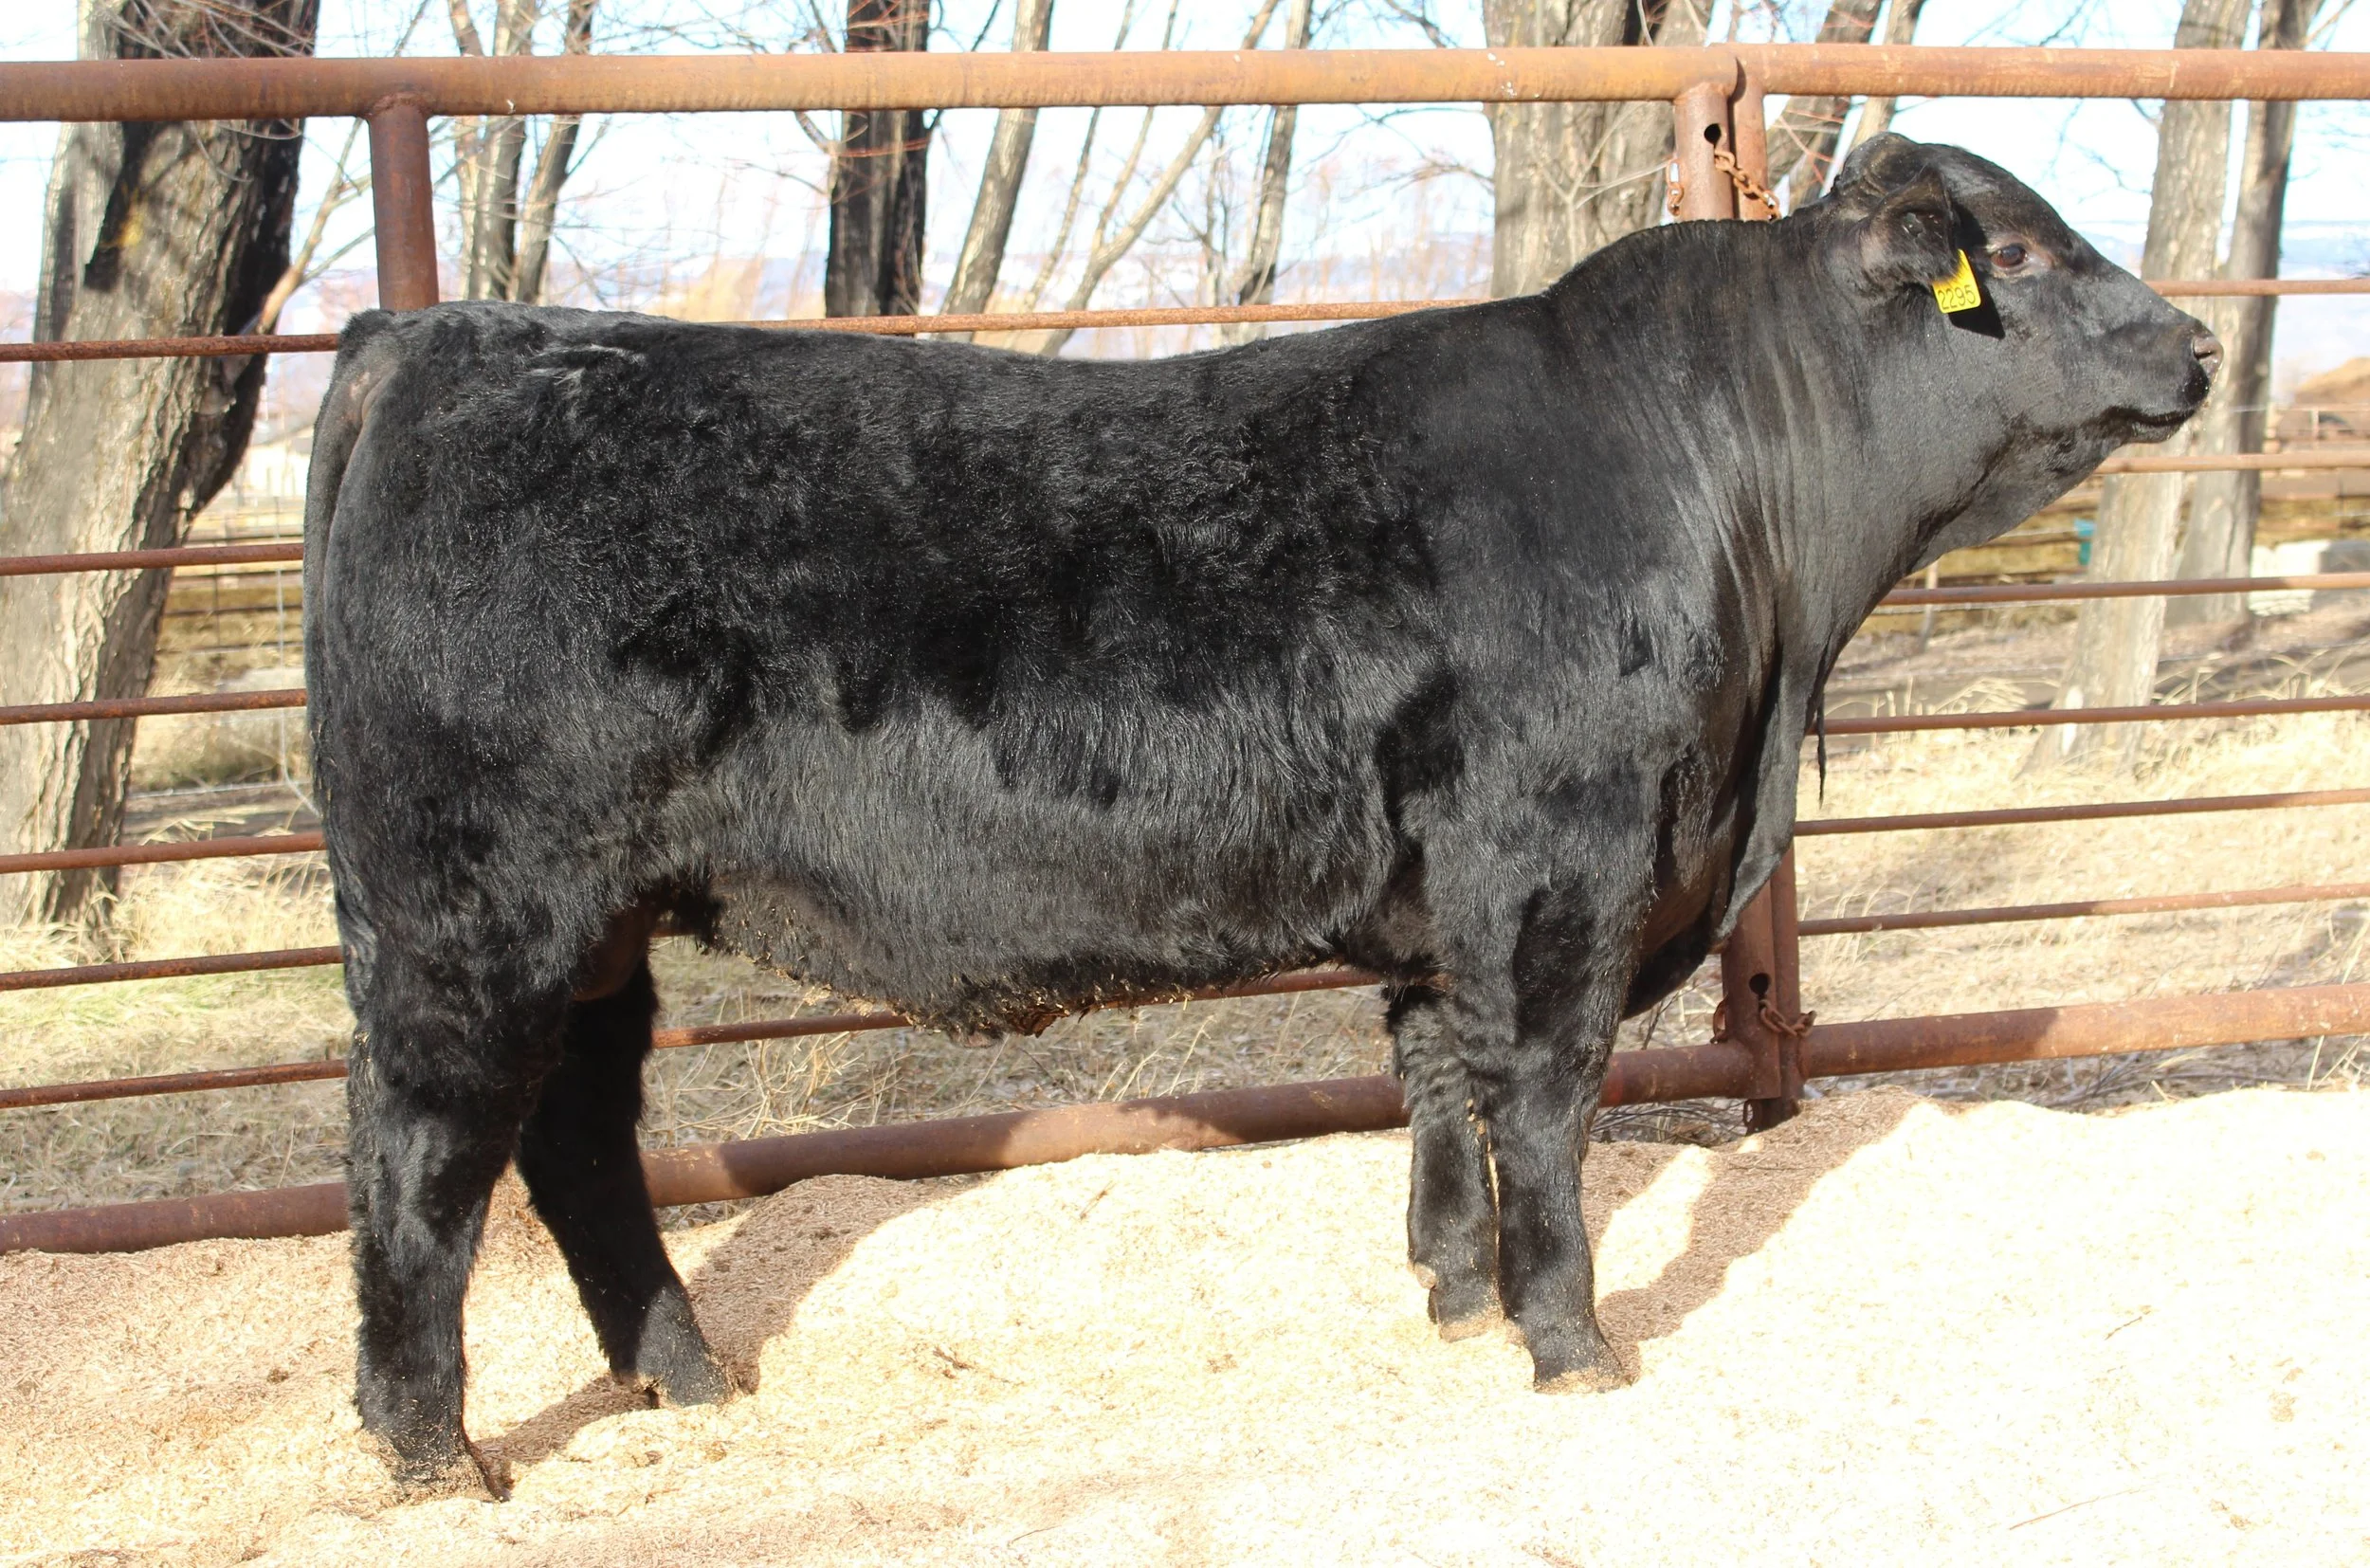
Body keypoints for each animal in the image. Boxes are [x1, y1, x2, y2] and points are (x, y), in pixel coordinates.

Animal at [303, 134, 2216, 1493]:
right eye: (2018, 253)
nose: (2197, 341)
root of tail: (440, 335)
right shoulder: (1563, 858)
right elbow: (1546, 1098)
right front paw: (1569, 1338)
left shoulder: (1450, 895)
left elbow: (1439, 1078)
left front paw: (1453, 1298)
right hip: (473, 905)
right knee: (422, 1153)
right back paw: (433, 1452)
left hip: (595, 922)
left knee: (577, 1135)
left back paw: (689, 1378)